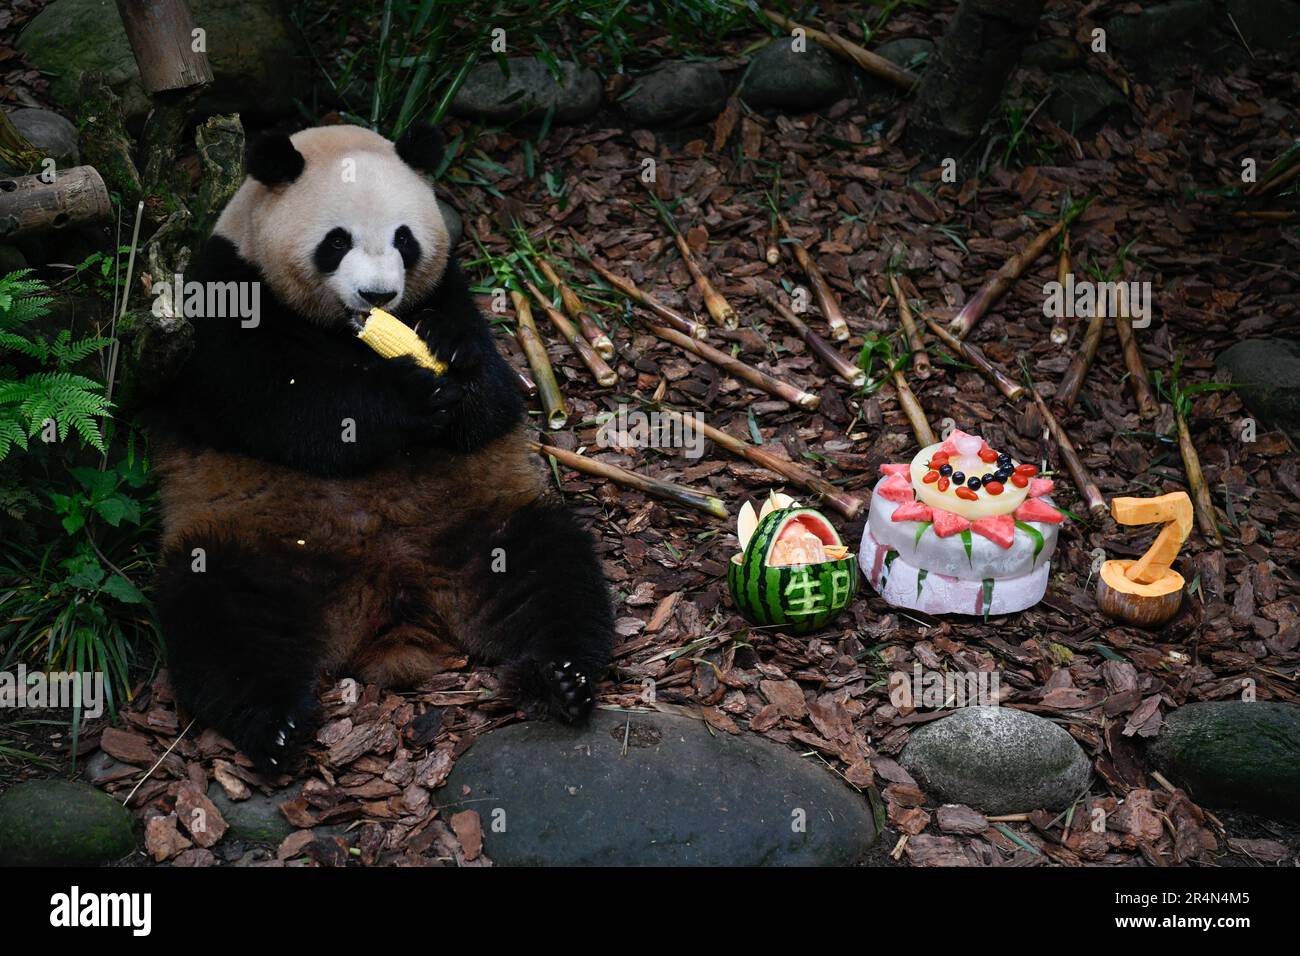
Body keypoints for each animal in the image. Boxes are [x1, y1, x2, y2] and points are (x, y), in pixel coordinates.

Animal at [148, 123, 614, 769]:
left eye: (404, 238)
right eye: (336, 241)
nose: (378, 295)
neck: (349, 334)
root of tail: (394, 596)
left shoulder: (449, 288)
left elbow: (494, 400)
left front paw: (451, 357)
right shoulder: (223, 297)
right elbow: (280, 404)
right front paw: (408, 395)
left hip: (483, 522)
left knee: (552, 572)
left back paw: (561, 677)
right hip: (254, 542)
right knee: (221, 621)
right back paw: (275, 723)